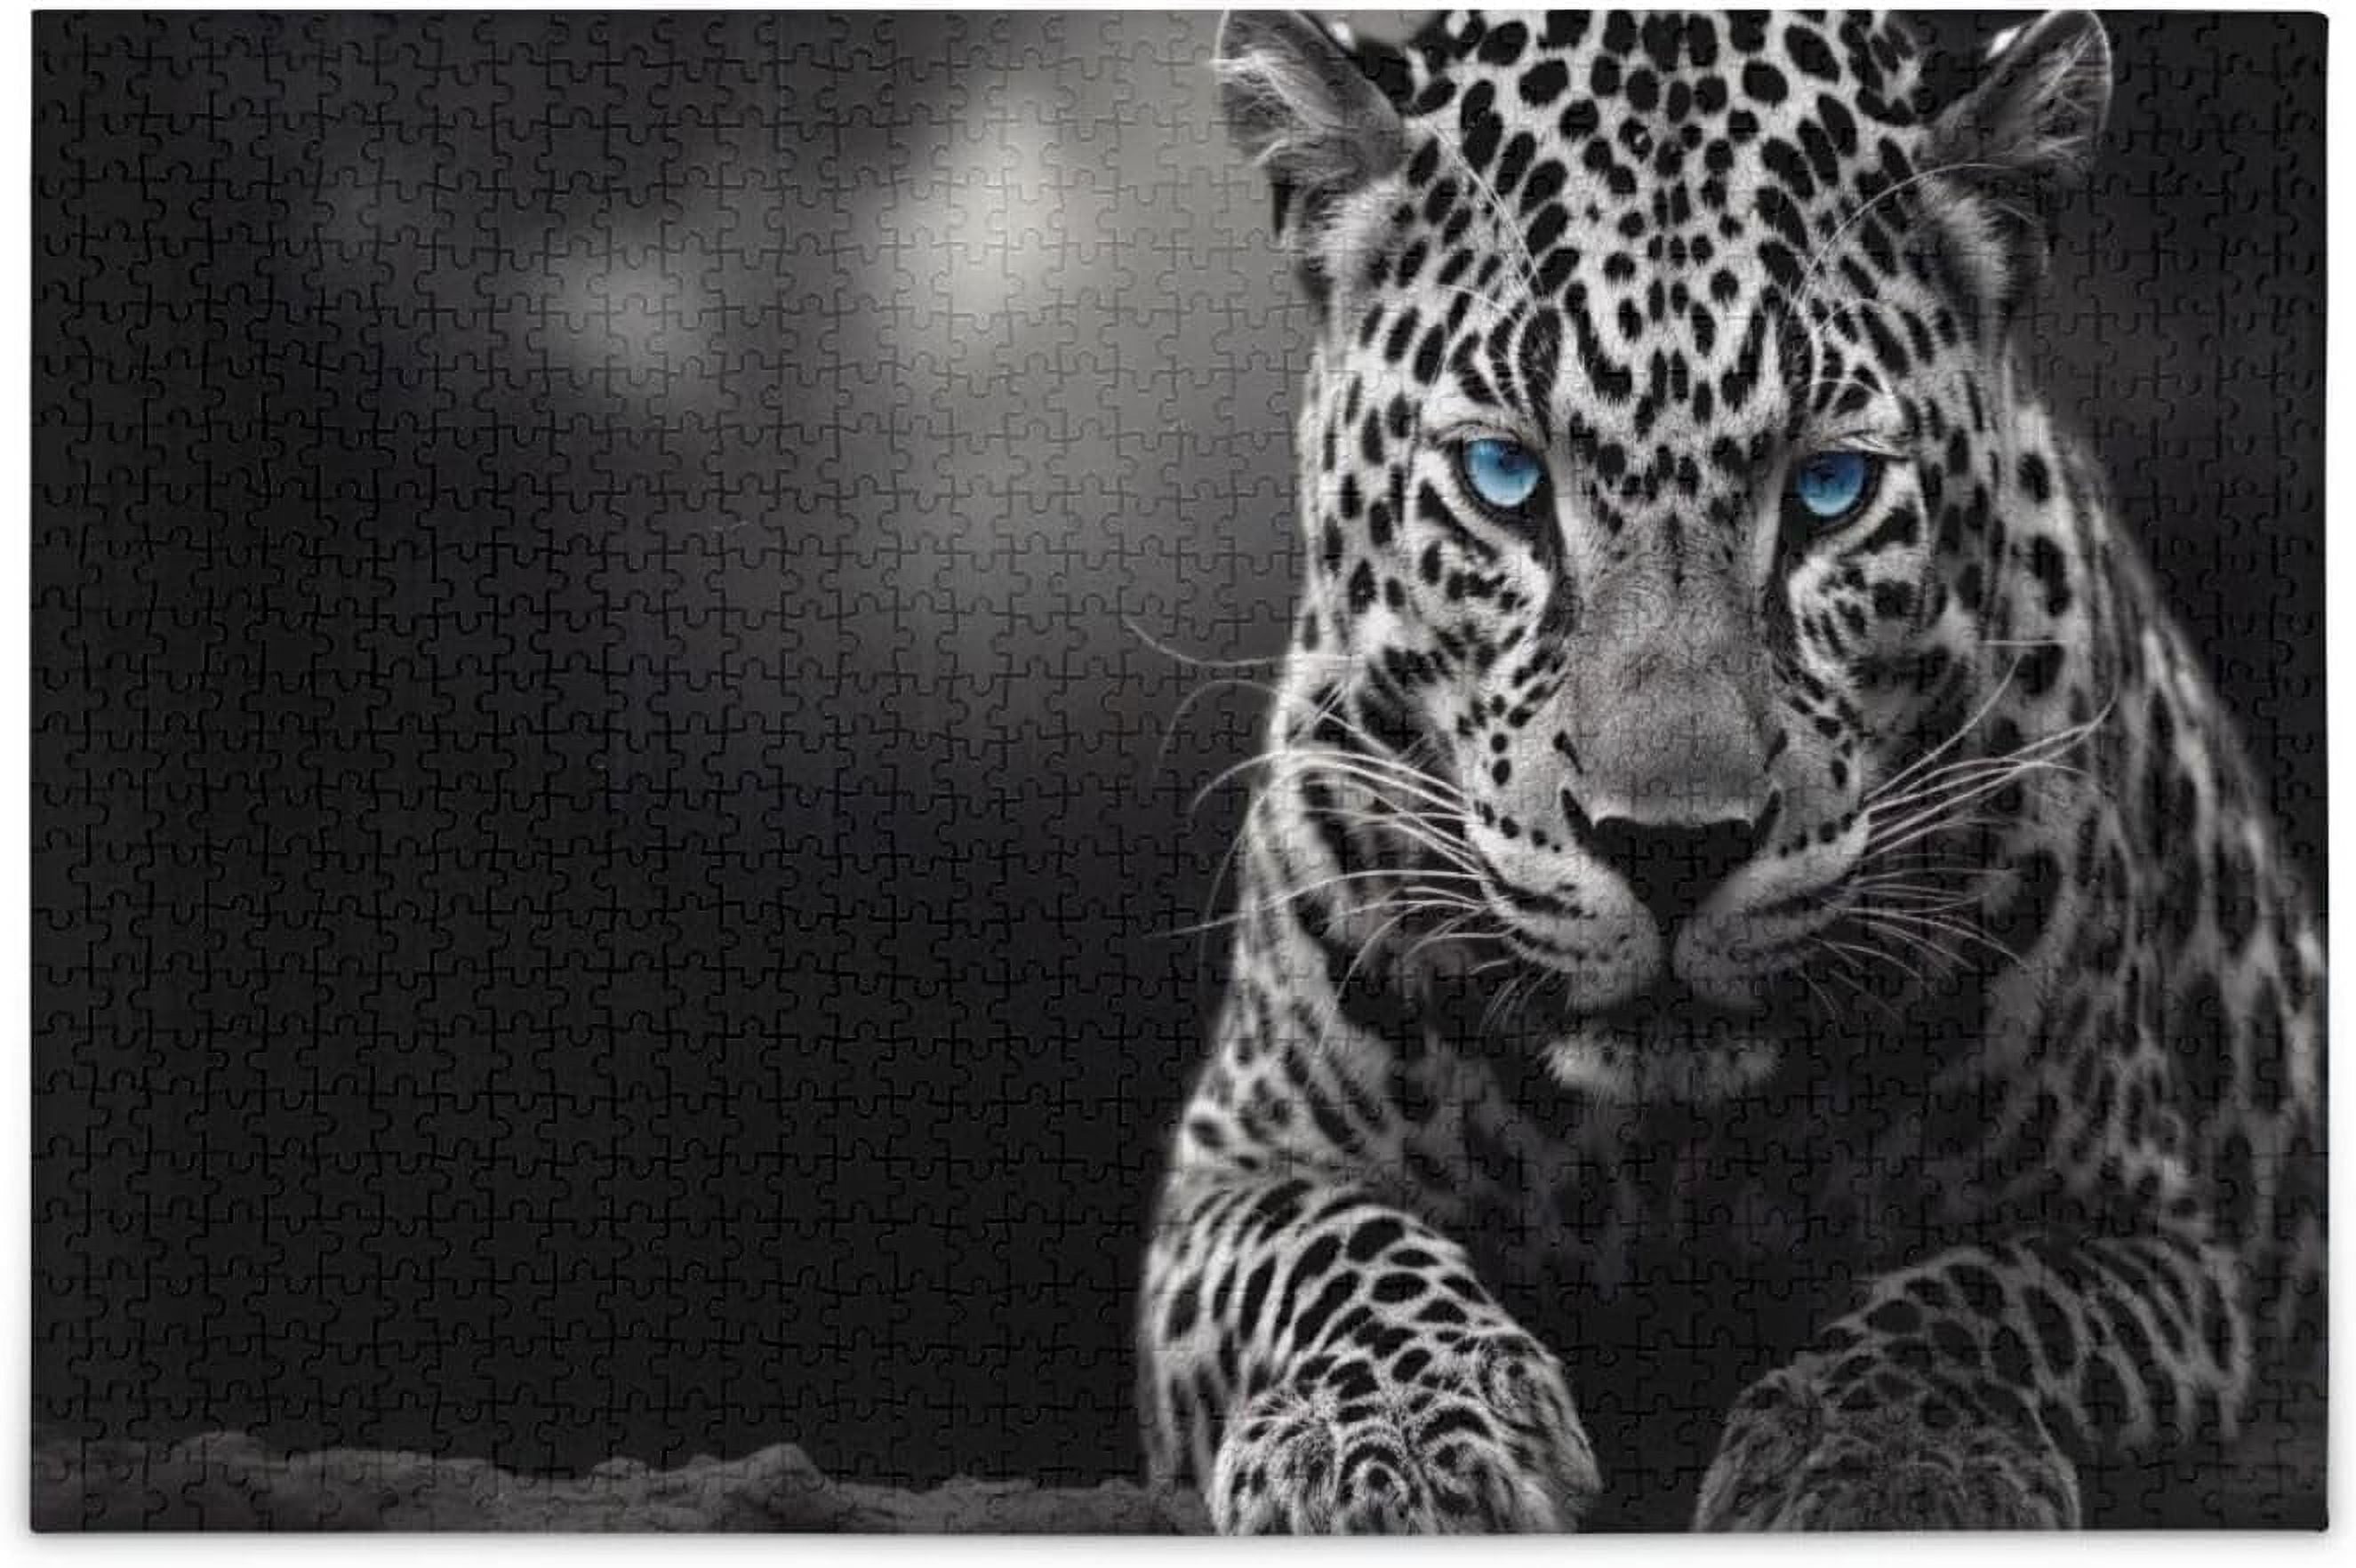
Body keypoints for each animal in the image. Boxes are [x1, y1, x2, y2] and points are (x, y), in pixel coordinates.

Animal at [1137, 8, 2325, 1533]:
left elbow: (1975, 1299)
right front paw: (1392, 1432)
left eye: (1827, 491)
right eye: (1502, 479)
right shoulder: (1234, 1174)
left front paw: (1884, 1454)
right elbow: (1330, 1250)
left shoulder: (2147, 1237)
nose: (1669, 848)